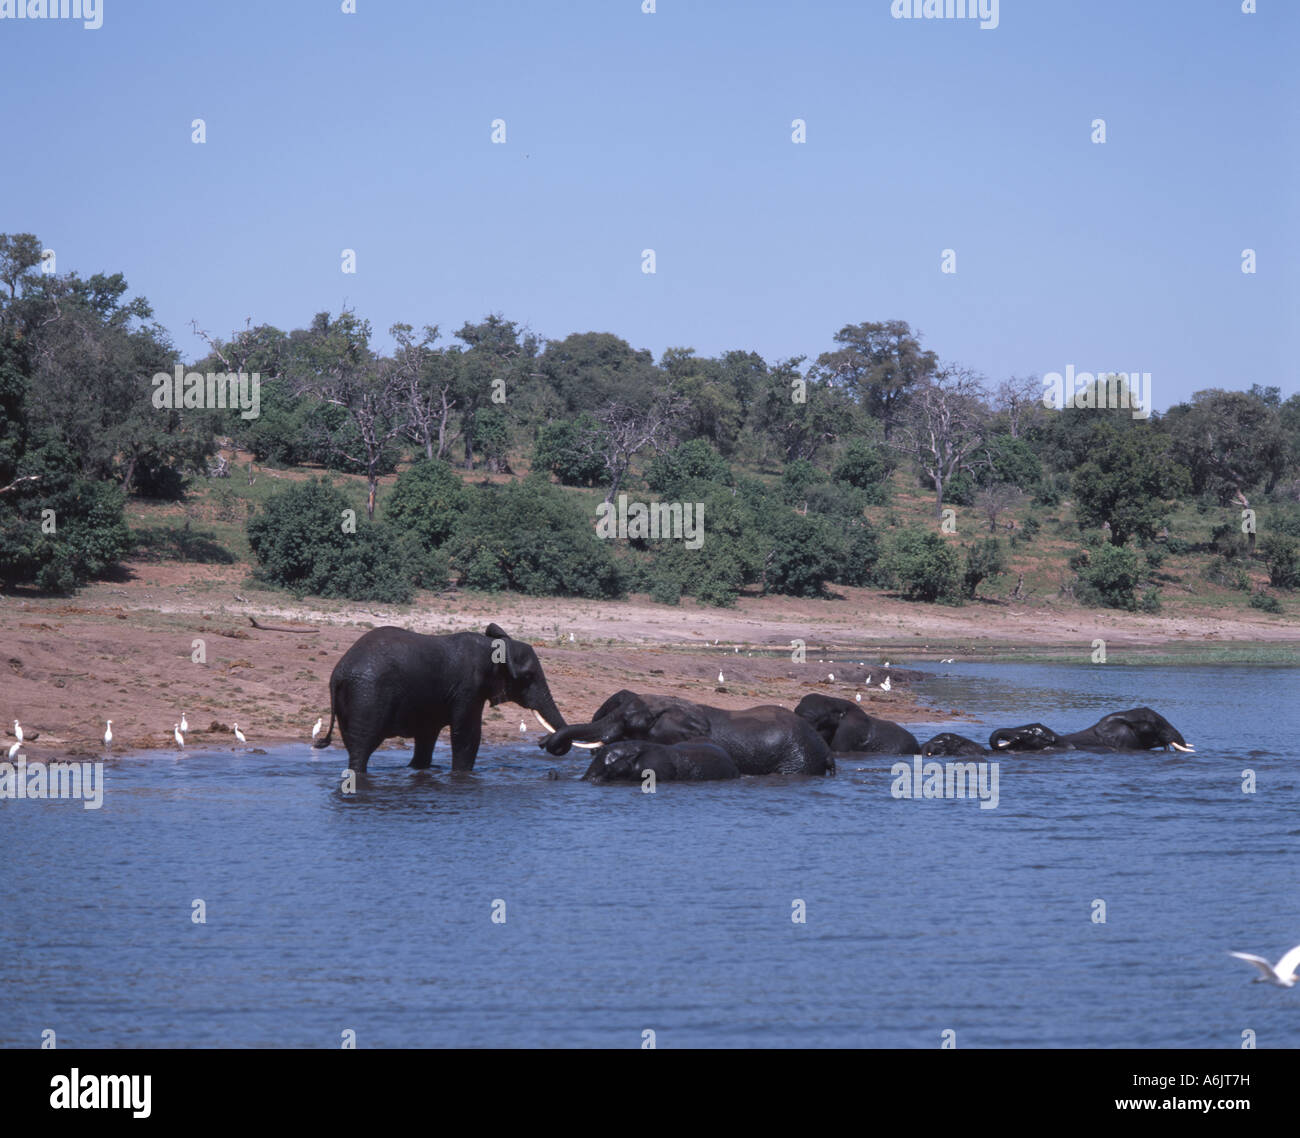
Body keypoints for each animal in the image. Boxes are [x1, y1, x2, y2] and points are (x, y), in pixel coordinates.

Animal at [314, 623, 566, 773]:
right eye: (529, 676)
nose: (543, 743)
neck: (494, 647)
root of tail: (338, 673)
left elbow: (427, 737)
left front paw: (418, 770)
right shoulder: (468, 688)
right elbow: (467, 736)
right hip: (367, 696)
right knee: (362, 747)